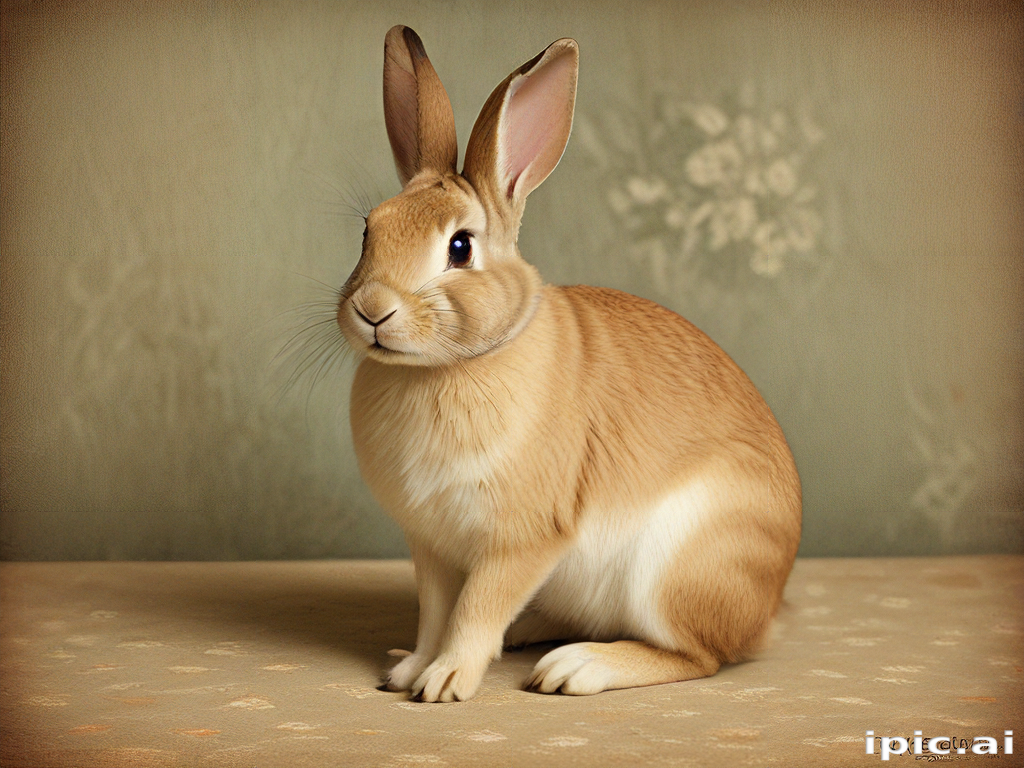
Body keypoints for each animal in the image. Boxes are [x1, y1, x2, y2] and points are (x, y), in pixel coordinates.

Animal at [335, 25, 802, 703]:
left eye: (460, 247)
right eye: (368, 232)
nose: (372, 309)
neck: (450, 366)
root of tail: (765, 613)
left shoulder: (520, 540)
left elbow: (474, 611)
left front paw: (444, 682)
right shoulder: (432, 546)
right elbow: (434, 613)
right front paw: (406, 670)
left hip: (675, 568)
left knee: (697, 655)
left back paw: (575, 669)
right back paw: (533, 634)